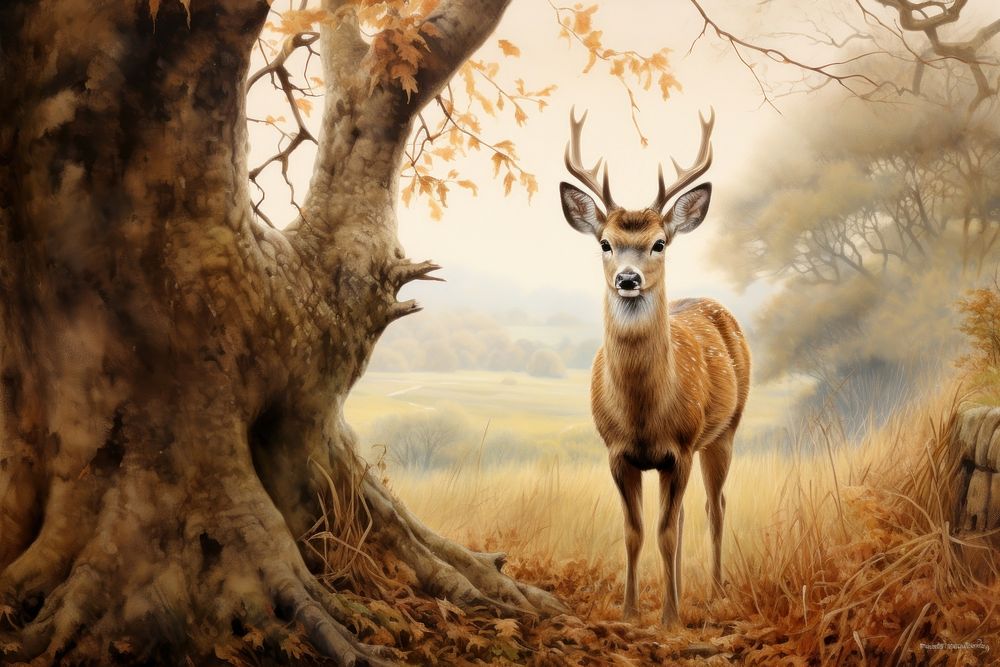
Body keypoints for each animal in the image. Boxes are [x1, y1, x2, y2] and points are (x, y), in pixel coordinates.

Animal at [558, 108, 751, 626]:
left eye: (659, 243)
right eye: (605, 243)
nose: (628, 279)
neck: (643, 414)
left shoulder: (679, 447)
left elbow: (663, 532)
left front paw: (669, 618)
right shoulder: (617, 451)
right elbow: (635, 531)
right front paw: (630, 612)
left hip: (726, 429)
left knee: (715, 505)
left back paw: (716, 591)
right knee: (683, 515)